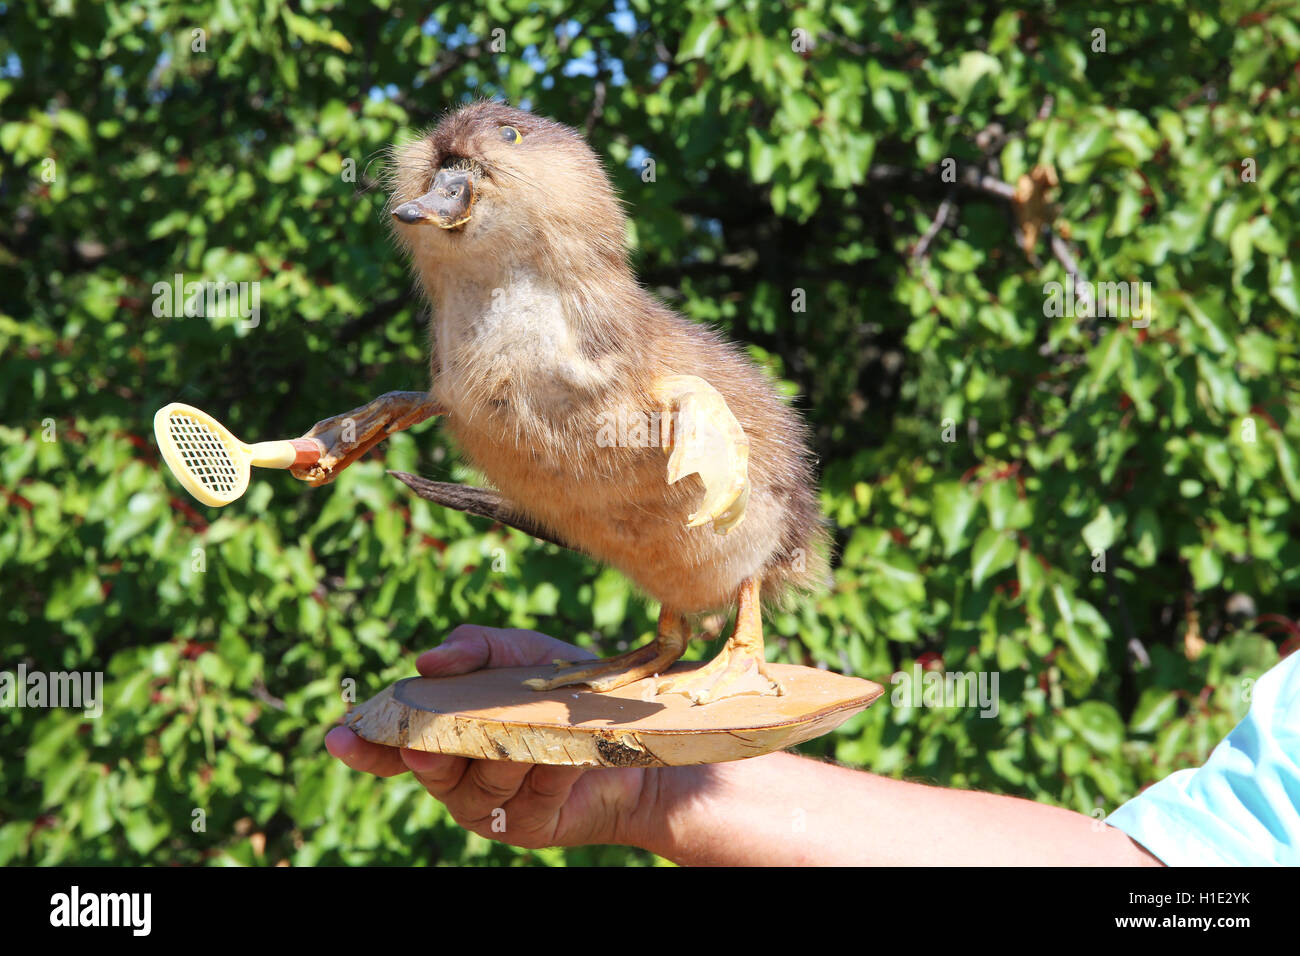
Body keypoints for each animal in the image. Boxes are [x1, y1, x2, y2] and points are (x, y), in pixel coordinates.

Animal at [292, 101, 829, 705]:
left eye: (509, 133)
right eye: (440, 159)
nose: (418, 206)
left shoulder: (622, 343)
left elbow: (691, 390)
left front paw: (712, 446)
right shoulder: (452, 383)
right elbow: (422, 398)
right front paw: (337, 438)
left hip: (763, 538)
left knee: (748, 587)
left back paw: (721, 675)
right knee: (673, 636)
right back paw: (599, 672)